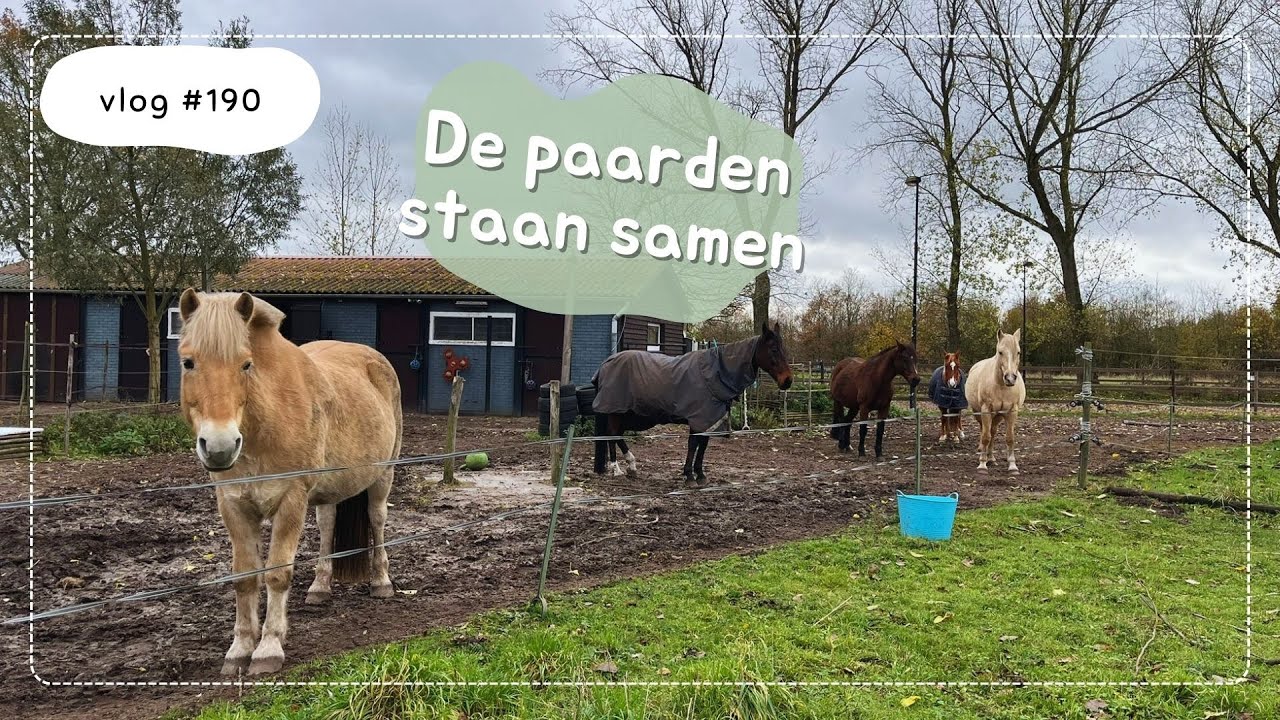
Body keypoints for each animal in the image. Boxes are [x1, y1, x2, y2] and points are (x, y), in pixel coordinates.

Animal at [176, 289, 403, 675]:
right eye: (189, 362)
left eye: (246, 364)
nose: (220, 446)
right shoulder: (233, 506)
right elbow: (244, 577)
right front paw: (239, 649)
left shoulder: (291, 501)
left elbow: (277, 574)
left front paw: (268, 649)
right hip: (330, 491)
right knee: (328, 526)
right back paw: (320, 587)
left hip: (382, 476)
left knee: (377, 521)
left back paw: (381, 582)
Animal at [592, 322, 793, 484]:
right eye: (774, 350)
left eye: (785, 349)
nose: (788, 381)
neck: (714, 373)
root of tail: (606, 363)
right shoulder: (698, 418)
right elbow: (693, 444)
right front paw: (689, 476)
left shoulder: (708, 419)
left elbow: (703, 446)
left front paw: (700, 475)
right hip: (616, 410)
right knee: (612, 434)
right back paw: (617, 469)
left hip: (628, 413)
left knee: (617, 435)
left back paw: (631, 466)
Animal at [964, 329, 1026, 472]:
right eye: (1000, 352)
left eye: (1018, 352)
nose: (1010, 378)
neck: (1001, 386)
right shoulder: (986, 410)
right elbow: (985, 437)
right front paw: (982, 464)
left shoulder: (1012, 411)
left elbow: (1010, 438)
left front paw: (1012, 466)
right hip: (979, 413)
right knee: (985, 431)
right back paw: (984, 454)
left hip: (997, 416)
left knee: (993, 432)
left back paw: (991, 458)